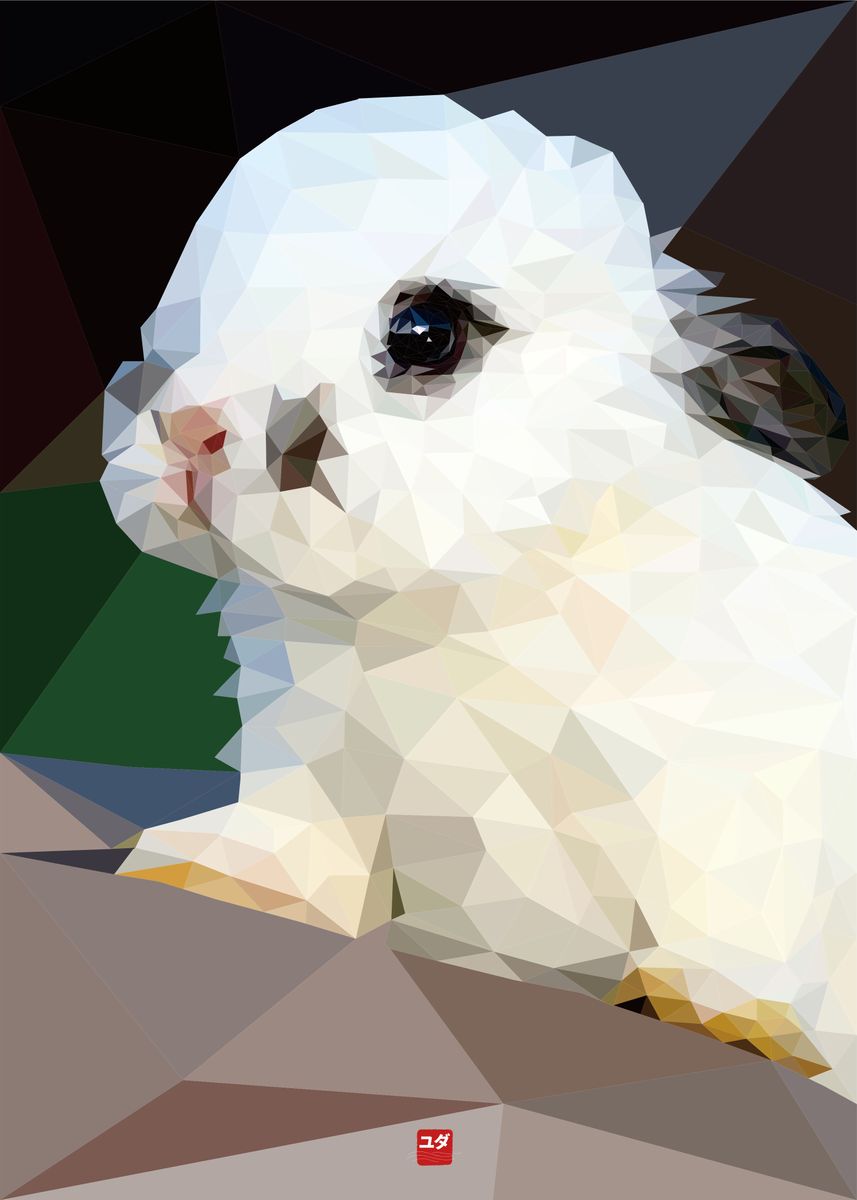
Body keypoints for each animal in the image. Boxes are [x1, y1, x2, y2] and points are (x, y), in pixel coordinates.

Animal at [101, 95, 856, 1099]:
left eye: (425, 330)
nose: (189, 435)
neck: (469, 602)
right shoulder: (319, 752)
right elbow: (307, 835)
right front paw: (214, 874)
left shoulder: (736, 804)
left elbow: (727, 918)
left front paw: (726, 1022)